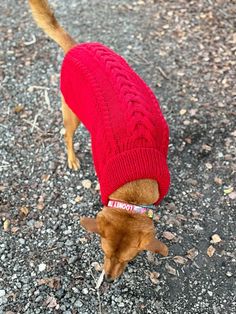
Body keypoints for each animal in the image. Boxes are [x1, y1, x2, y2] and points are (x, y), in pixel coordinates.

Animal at [28, 0, 171, 280]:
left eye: (129, 259)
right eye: (104, 253)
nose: (109, 279)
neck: (133, 197)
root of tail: (76, 47)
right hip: (72, 112)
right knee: (67, 136)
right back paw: (72, 158)